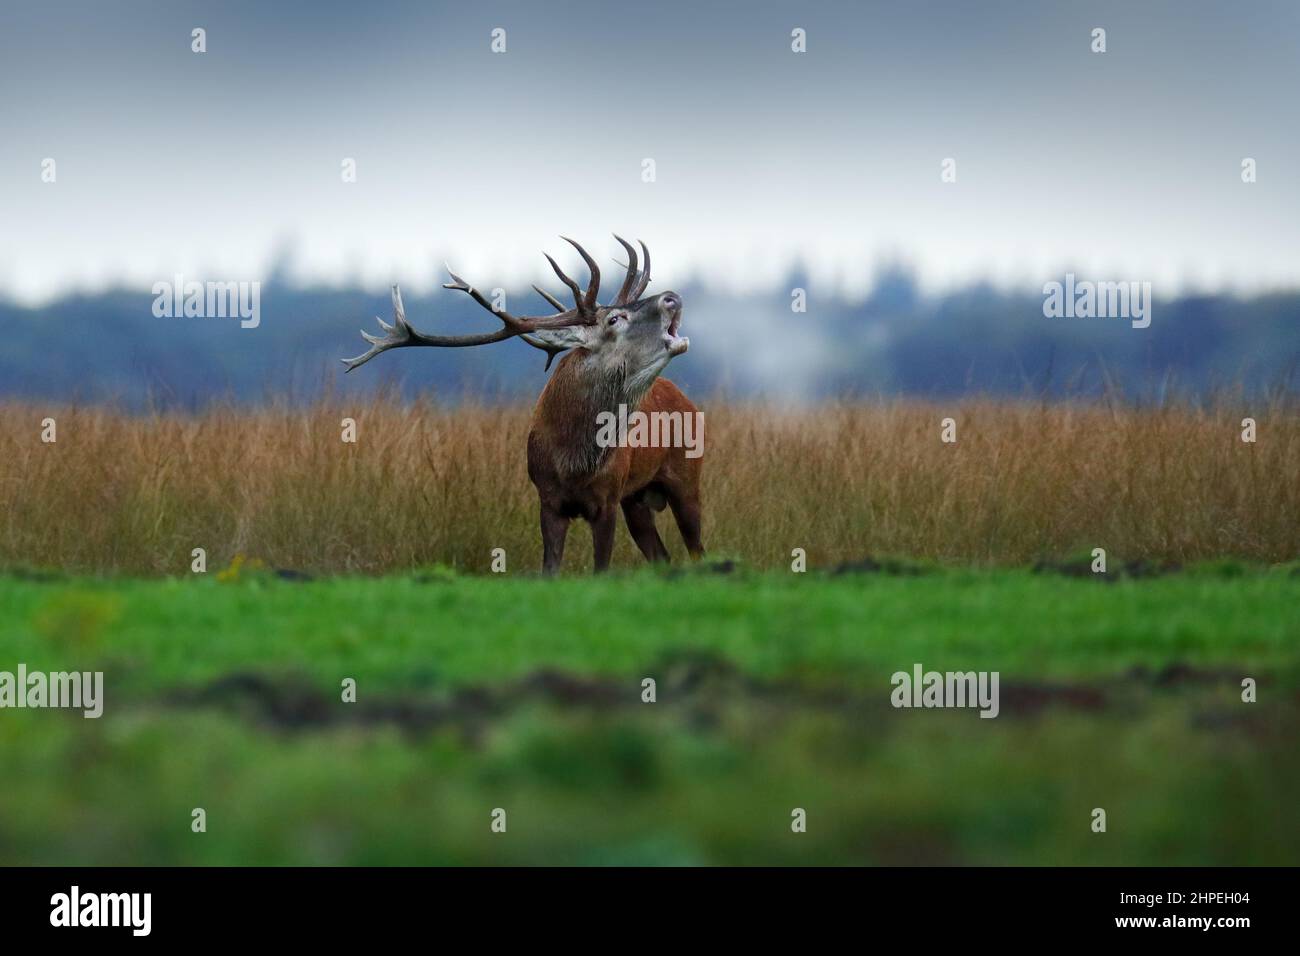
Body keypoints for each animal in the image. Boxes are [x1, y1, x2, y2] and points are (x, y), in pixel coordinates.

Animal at [342, 237, 703, 574]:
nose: (671, 296)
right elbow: (549, 570)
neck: (573, 463)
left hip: (686, 477)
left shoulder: (608, 498)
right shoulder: (548, 499)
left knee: (697, 551)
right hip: (638, 499)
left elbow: (601, 569)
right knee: (663, 556)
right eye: (615, 318)